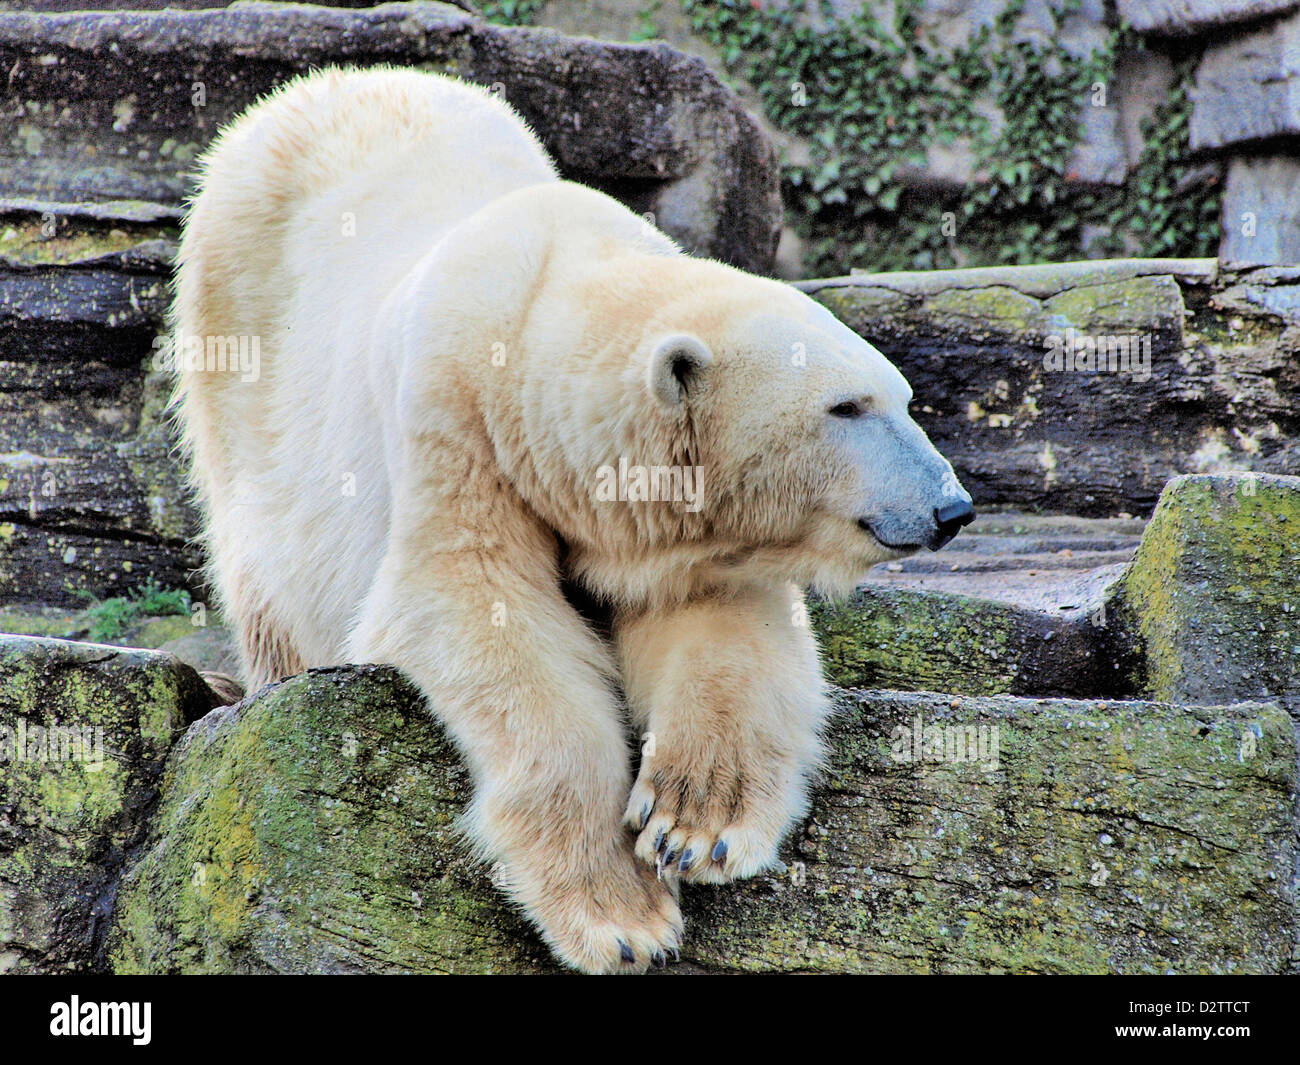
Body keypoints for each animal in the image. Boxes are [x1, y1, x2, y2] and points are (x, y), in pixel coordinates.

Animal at [169, 66, 974, 974]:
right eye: (847, 406)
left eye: (903, 398)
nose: (951, 506)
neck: (535, 305)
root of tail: (316, 87)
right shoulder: (455, 423)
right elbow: (481, 608)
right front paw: (621, 916)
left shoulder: (672, 535)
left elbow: (717, 621)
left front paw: (694, 821)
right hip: (241, 343)